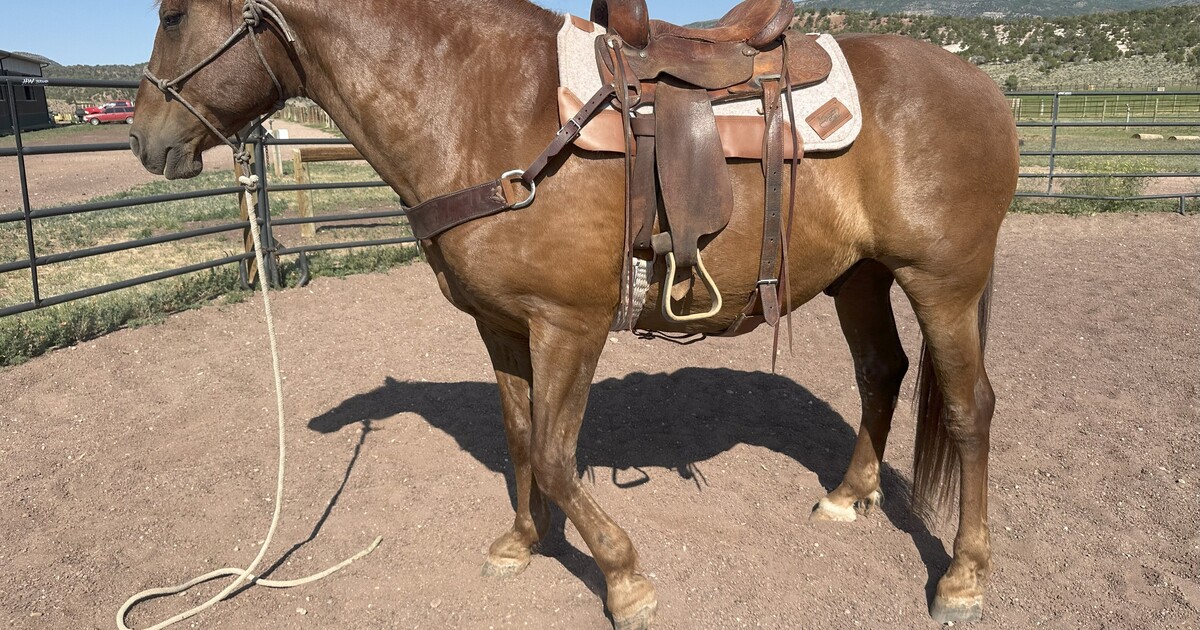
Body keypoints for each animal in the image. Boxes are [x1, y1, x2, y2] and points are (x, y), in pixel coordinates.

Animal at [129, 0, 1018, 627]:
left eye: (171, 16)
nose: (143, 138)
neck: (484, 102)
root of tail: (984, 84)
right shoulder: (502, 324)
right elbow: (522, 438)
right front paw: (524, 542)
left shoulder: (570, 325)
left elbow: (558, 457)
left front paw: (624, 580)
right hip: (861, 278)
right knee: (881, 372)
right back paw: (848, 493)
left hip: (943, 281)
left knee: (970, 409)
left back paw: (965, 576)